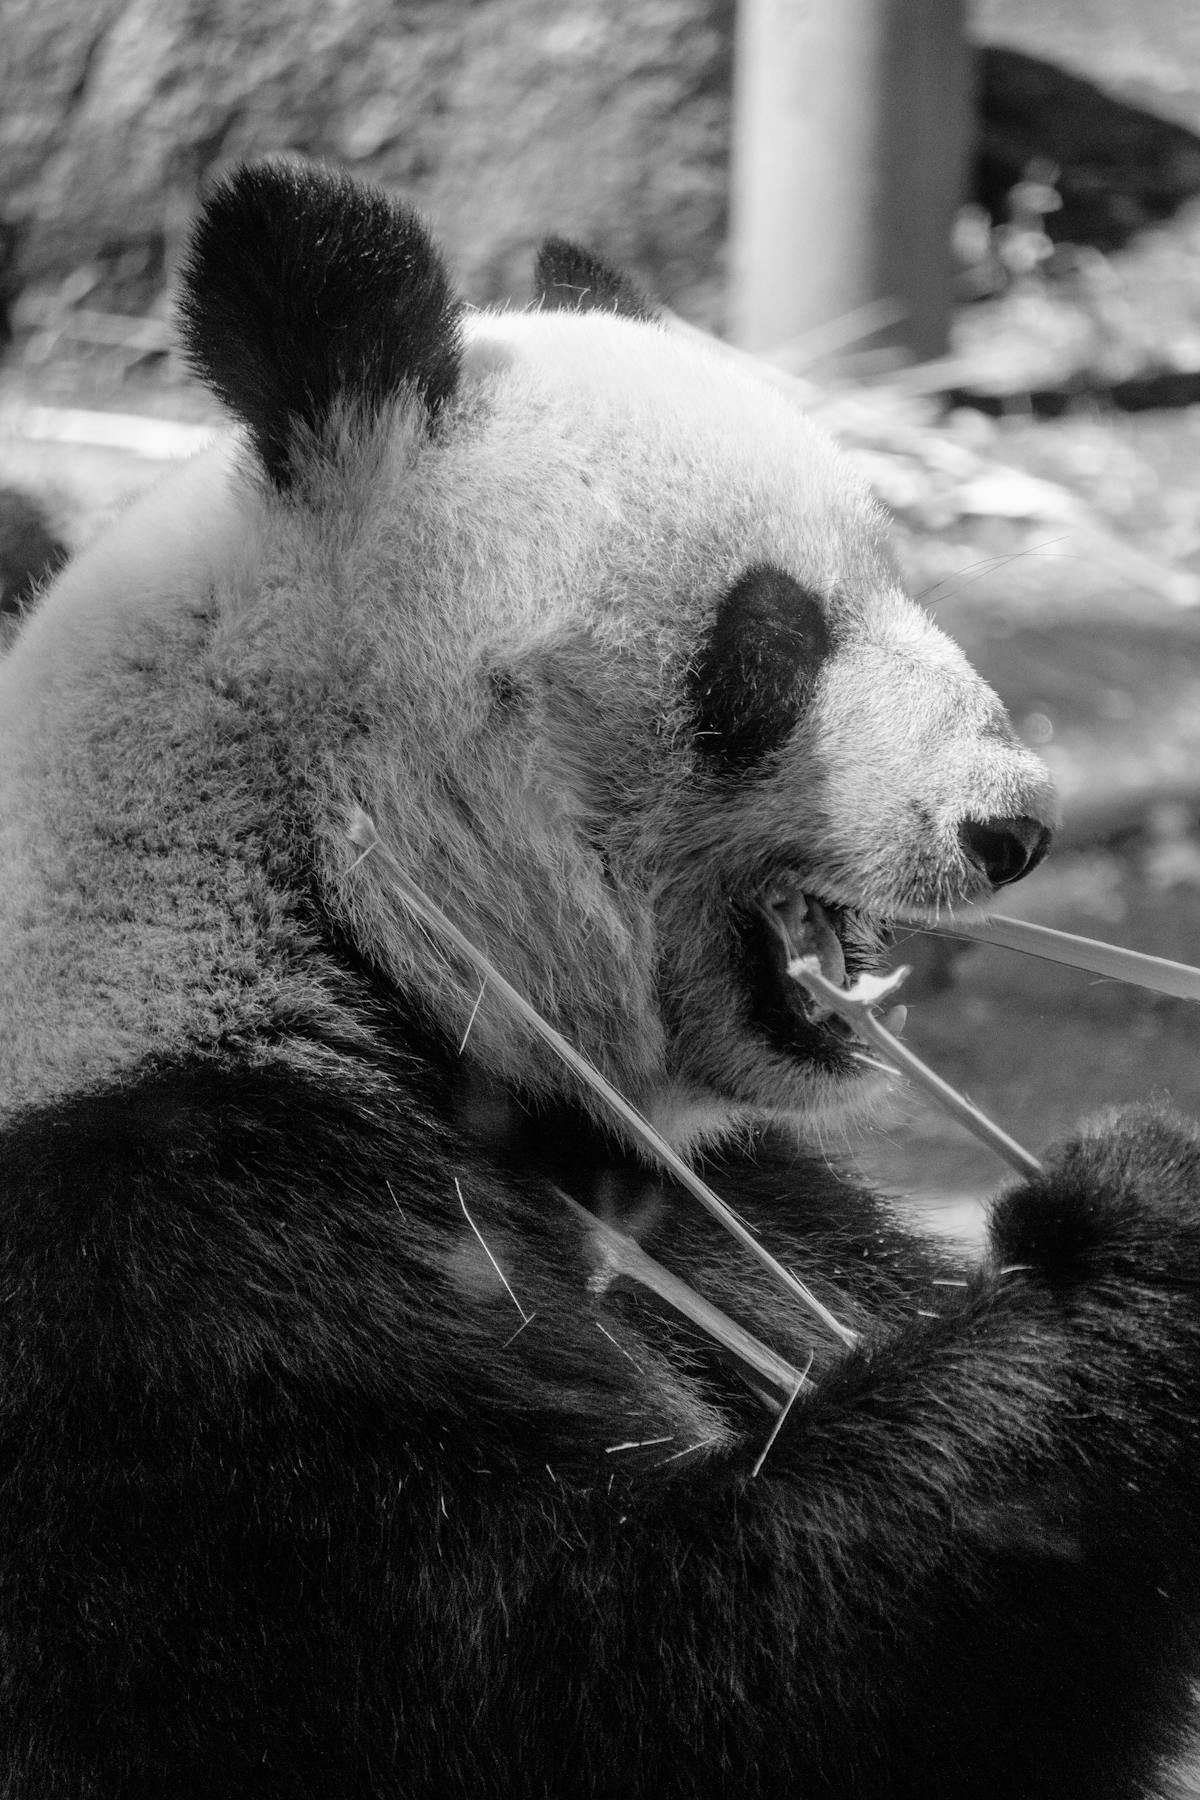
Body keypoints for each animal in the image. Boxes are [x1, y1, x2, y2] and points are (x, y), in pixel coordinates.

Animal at [3, 158, 1200, 1800]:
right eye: (775, 638)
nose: (1014, 828)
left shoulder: (723, 1186)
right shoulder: (155, 1277)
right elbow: (607, 1670)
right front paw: (1133, 1240)